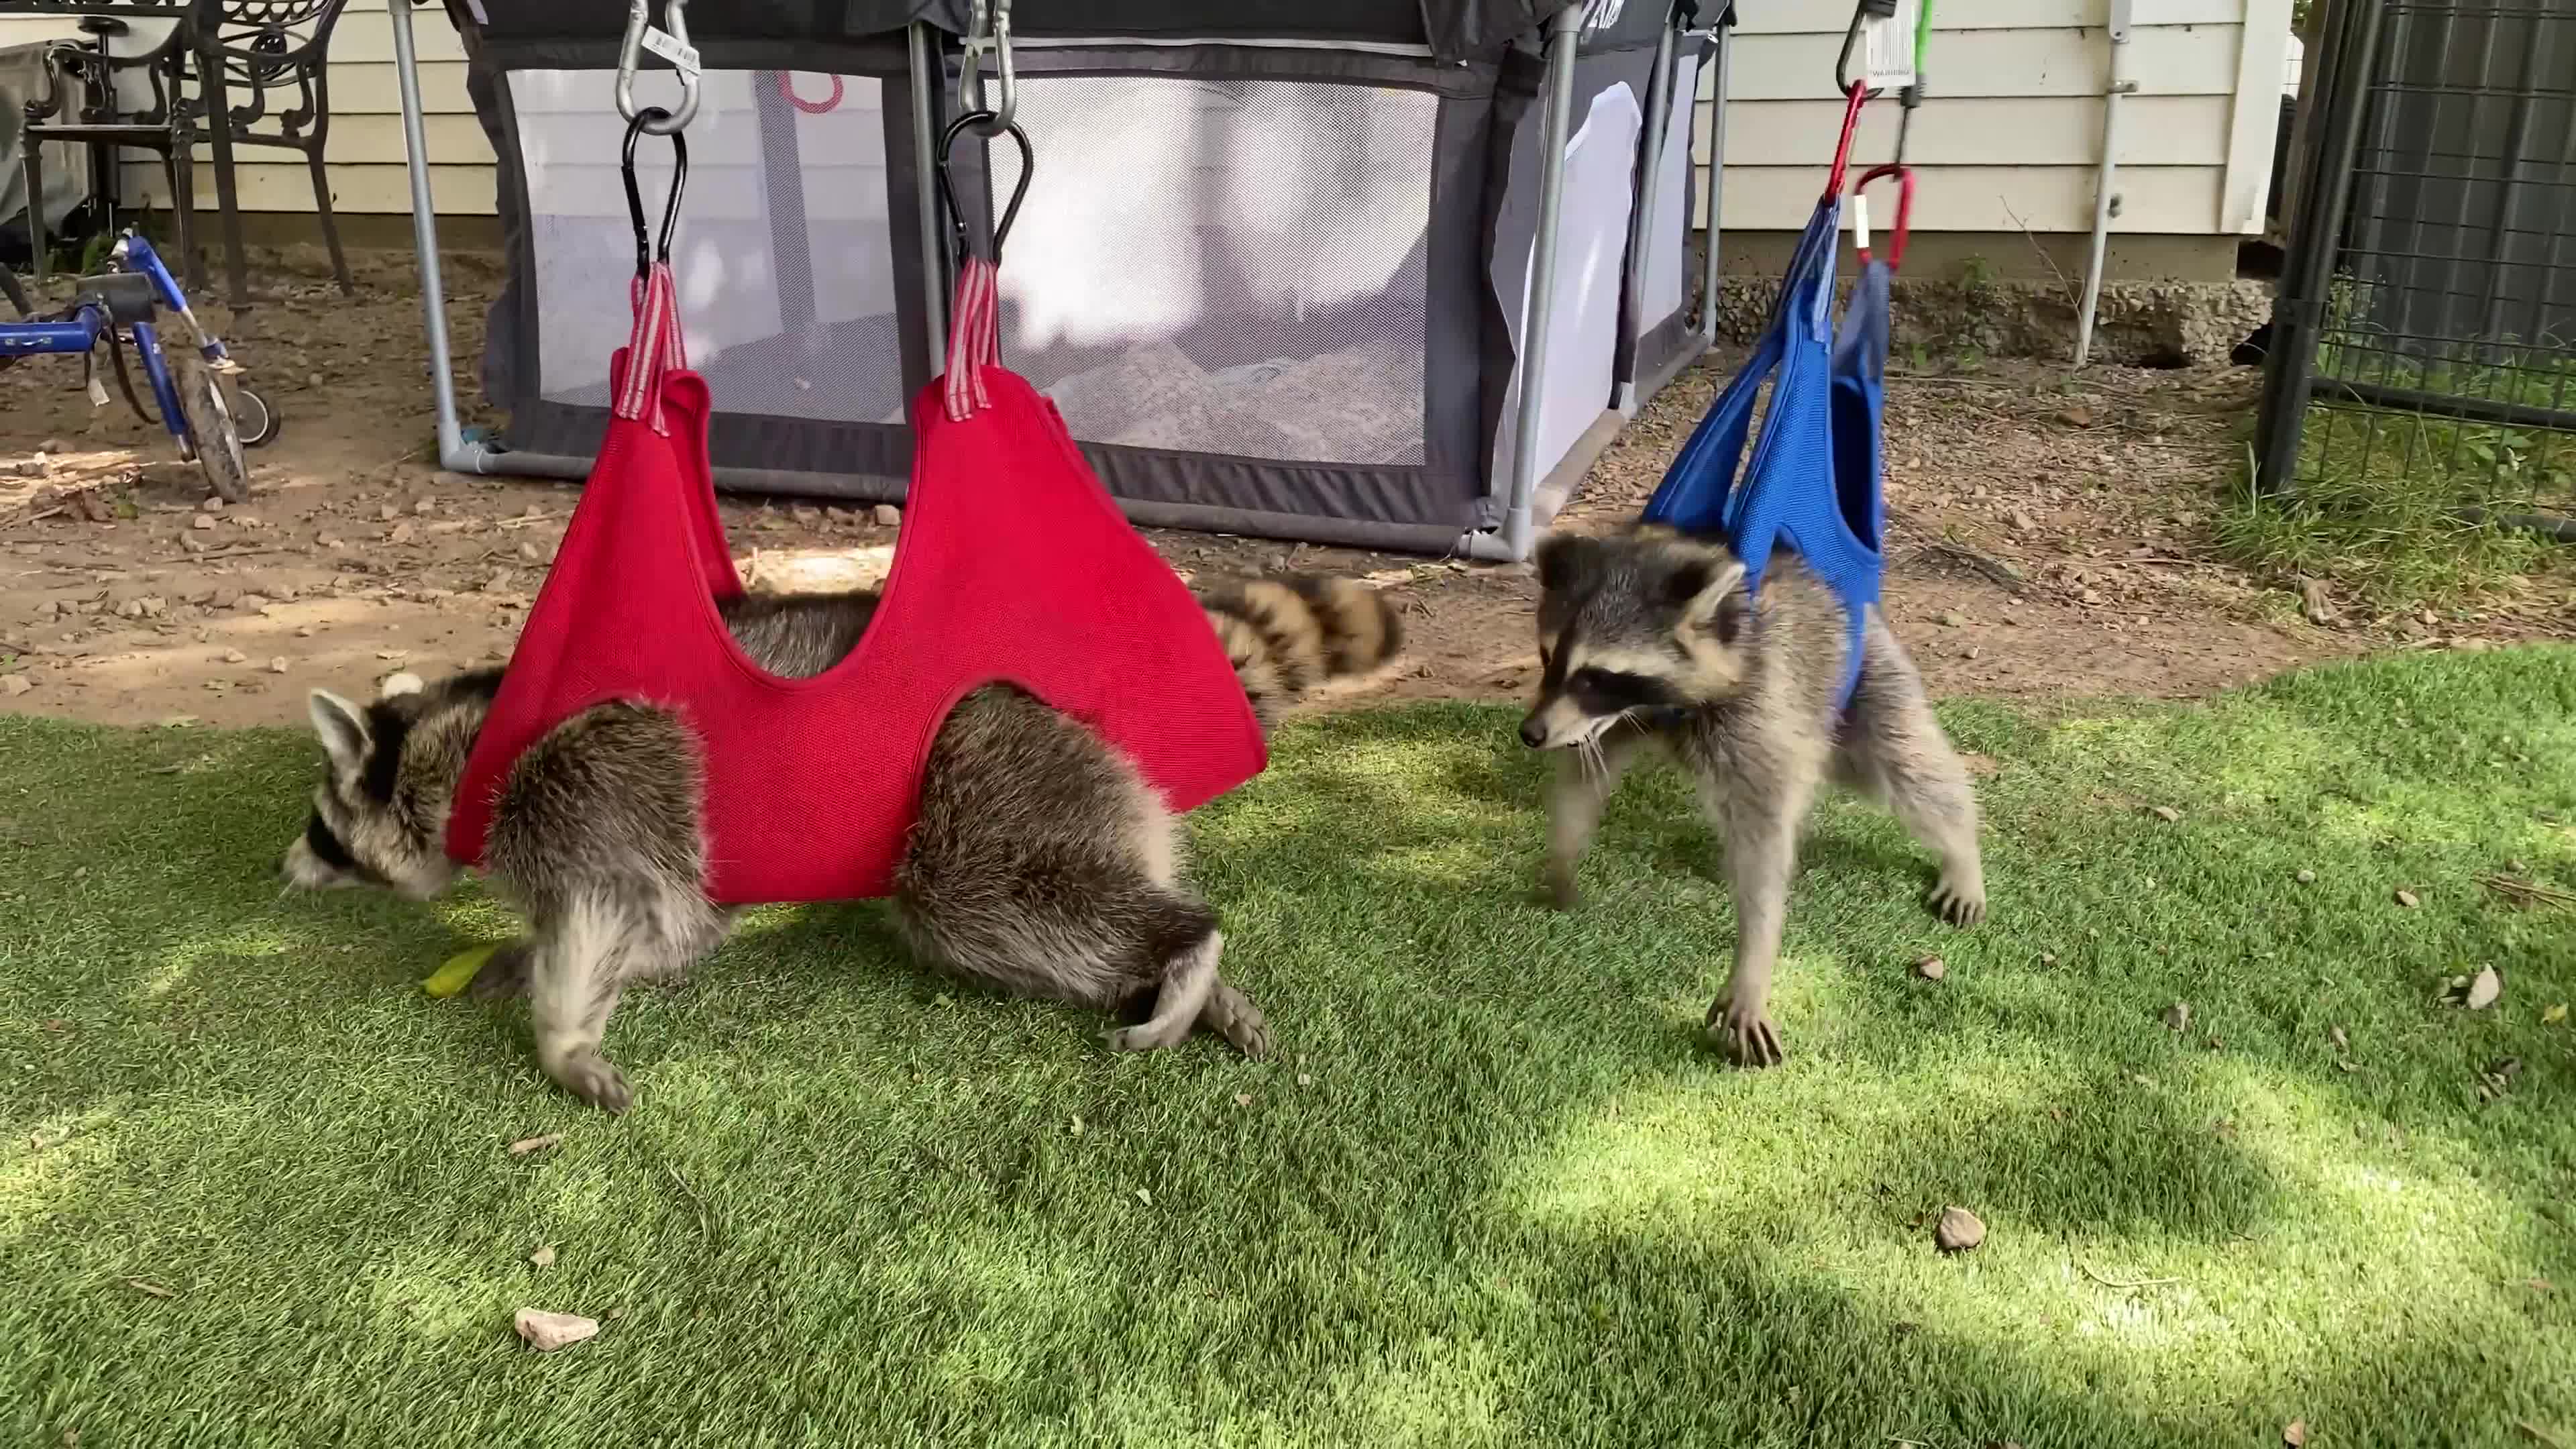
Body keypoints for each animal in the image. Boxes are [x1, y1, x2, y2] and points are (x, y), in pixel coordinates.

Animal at [279, 576, 1402, 1113]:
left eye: (320, 827)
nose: (282, 869)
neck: (459, 748)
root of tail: (1063, 710)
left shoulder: (588, 789)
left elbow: (616, 912)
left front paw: (563, 1037)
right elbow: (683, 931)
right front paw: (529, 959)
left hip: (991, 768)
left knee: (979, 896)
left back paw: (1187, 944)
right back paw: (1181, 977)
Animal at [1519, 523, 1986, 1068]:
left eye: (1595, 677)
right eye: (1548, 659)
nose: (1530, 733)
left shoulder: (1760, 697)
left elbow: (1763, 840)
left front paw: (1752, 965)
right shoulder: (1609, 721)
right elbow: (1582, 772)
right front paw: (1563, 850)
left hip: (1857, 673)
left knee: (1902, 763)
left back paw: (1962, 847)